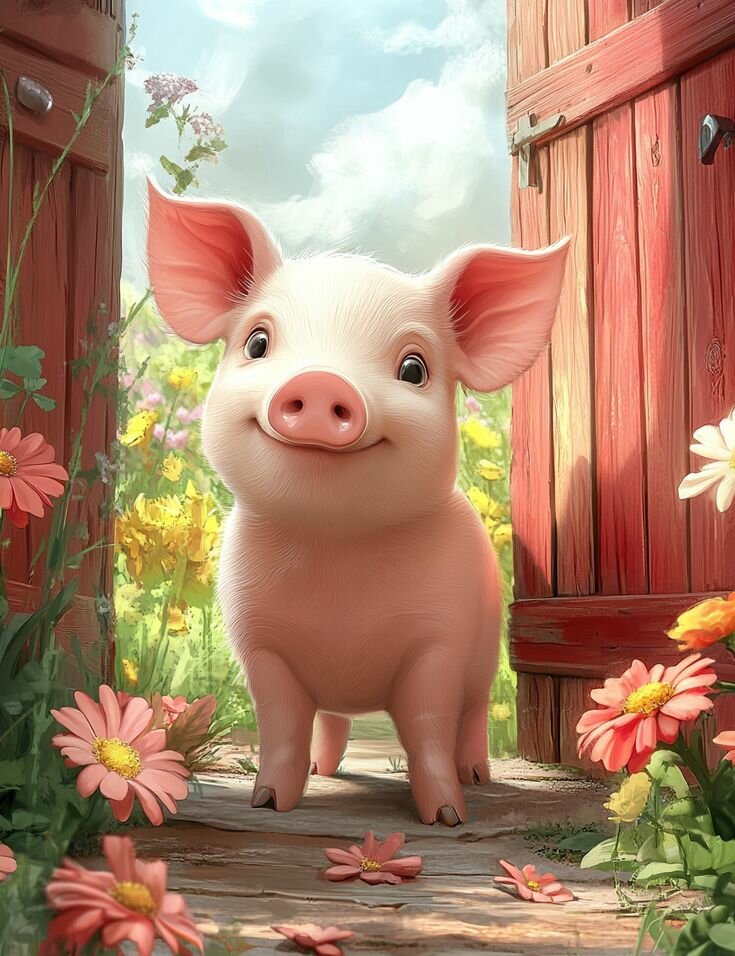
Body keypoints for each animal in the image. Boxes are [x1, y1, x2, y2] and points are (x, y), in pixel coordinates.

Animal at [146, 178, 569, 826]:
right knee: (331, 720)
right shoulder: (259, 644)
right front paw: (270, 803)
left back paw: (476, 776)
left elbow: (426, 725)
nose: (320, 382)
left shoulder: (441, 641)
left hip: (485, 656)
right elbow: (281, 726)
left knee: (470, 718)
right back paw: (325, 771)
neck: (335, 557)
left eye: (414, 368)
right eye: (257, 342)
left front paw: (447, 816)